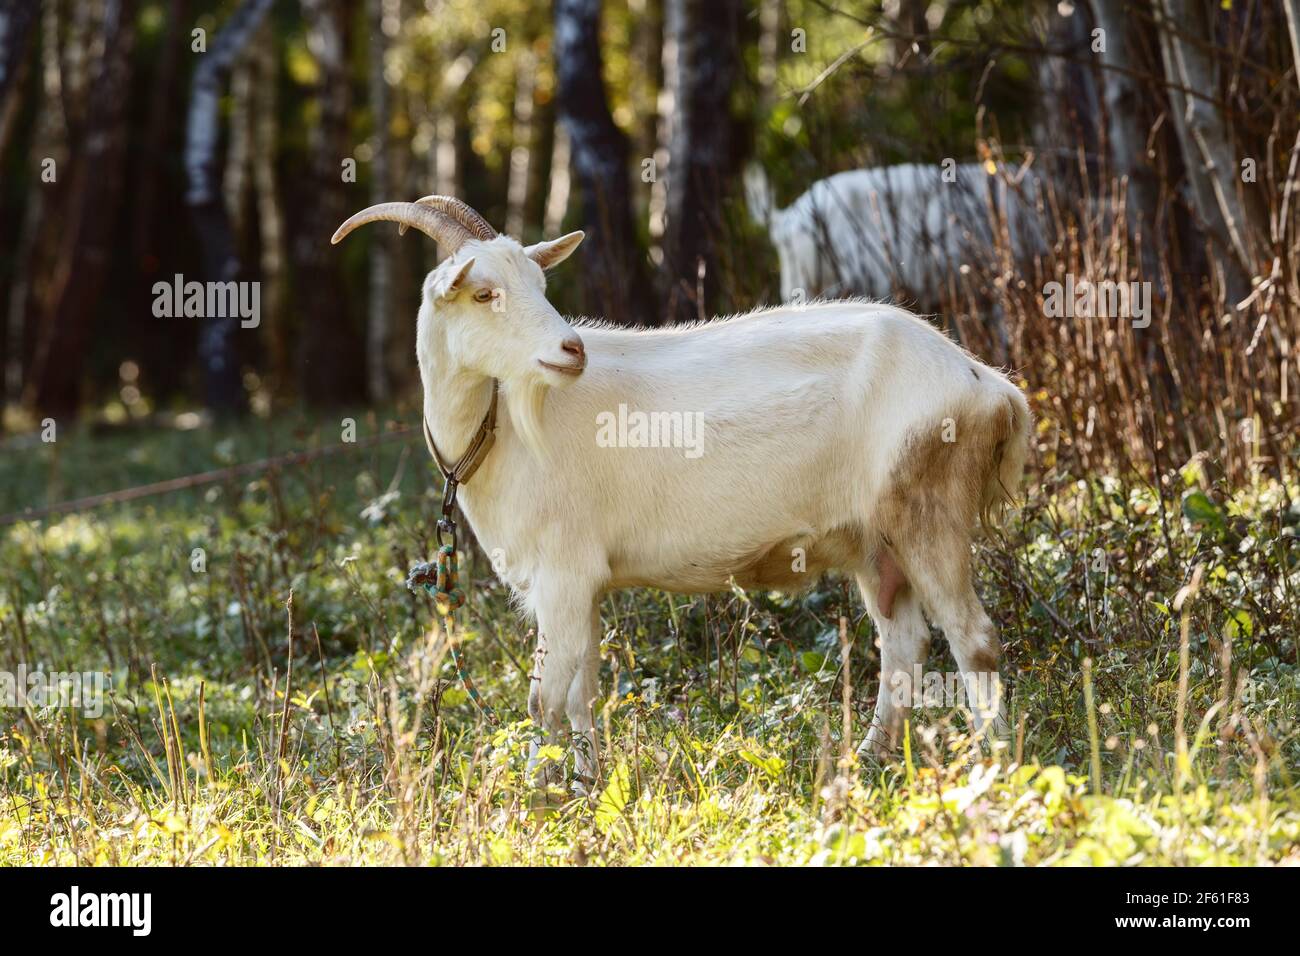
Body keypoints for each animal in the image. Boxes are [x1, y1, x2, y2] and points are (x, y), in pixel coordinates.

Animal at [332, 196, 1032, 789]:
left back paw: (995, 763)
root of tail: (985, 382)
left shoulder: (563, 573)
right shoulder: (586, 581)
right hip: (875, 542)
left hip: (928, 511)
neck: (499, 427)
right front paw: (586, 787)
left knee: (973, 638)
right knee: (903, 645)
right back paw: (868, 760)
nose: (571, 350)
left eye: (540, 285)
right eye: (485, 293)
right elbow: (581, 690)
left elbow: (543, 697)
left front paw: (530, 798)